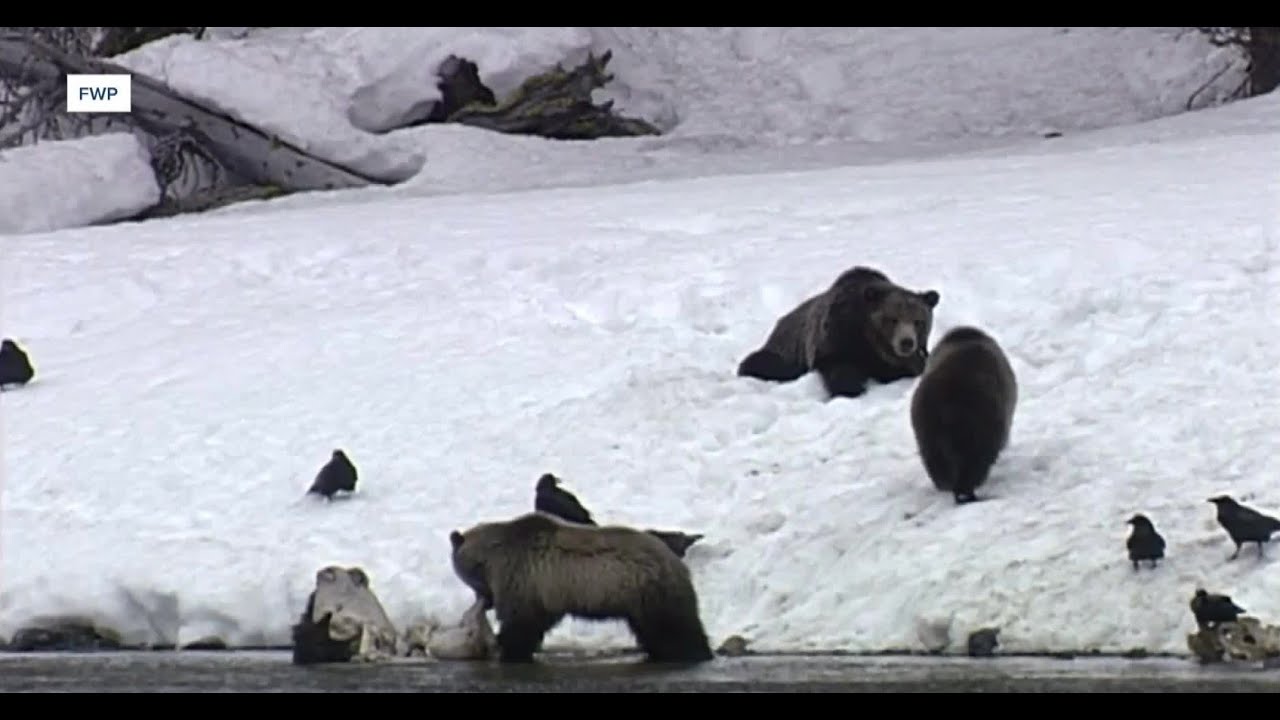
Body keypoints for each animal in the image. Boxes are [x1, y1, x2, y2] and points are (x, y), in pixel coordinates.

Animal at [448, 511, 716, 664]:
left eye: (471, 579)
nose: (486, 602)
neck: (494, 555)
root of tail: (674, 561)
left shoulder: (525, 578)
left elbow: (521, 623)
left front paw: (508, 649)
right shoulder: (546, 590)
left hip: (648, 590)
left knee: (675, 627)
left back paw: (694, 653)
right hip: (639, 602)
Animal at [736, 266, 940, 399]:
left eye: (918, 322)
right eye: (892, 319)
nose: (906, 342)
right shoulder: (836, 336)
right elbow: (839, 368)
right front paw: (852, 389)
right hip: (784, 350)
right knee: (760, 363)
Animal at [909, 325, 1018, 504]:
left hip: (926, 430)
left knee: (935, 461)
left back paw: (947, 485)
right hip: (980, 423)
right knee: (976, 460)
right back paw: (966, 489)